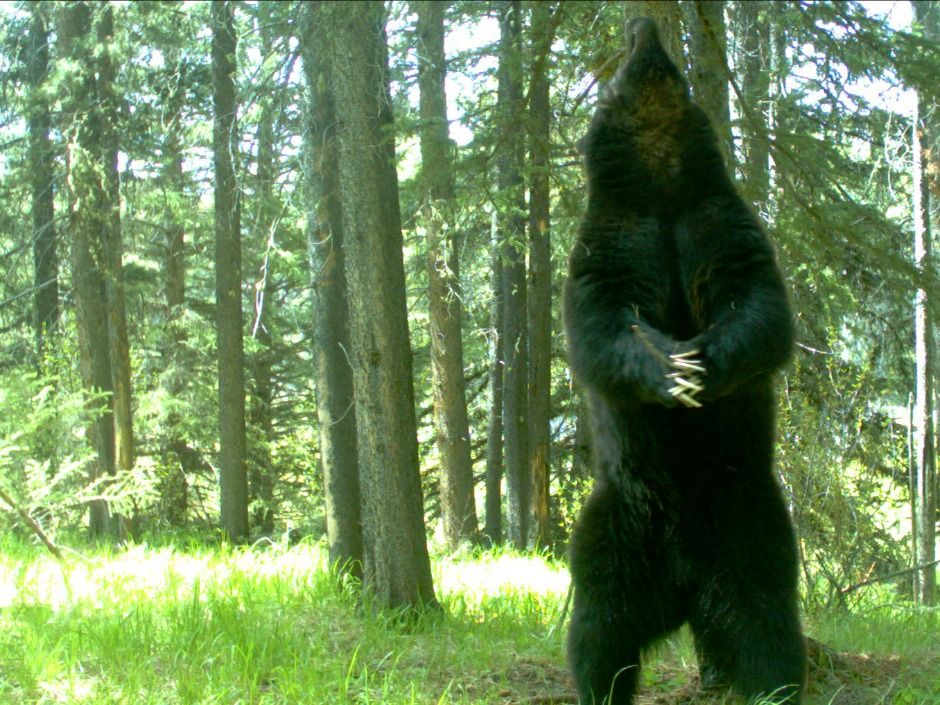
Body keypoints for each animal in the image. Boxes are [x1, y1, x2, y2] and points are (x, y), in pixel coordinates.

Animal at [562, 17, 806, 705]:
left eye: (668, 55)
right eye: (622, 57)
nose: (644, 24)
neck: (661, 181)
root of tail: (683, 590)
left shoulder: (718, 221)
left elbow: (760, 305)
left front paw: (704, 360)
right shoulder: (609, 240)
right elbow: (602, 327)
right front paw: (672, 368)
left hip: (749, 521)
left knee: (767, 621)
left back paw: (774, 684)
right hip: (616, 523)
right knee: (597, 628)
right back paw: (601, 686)